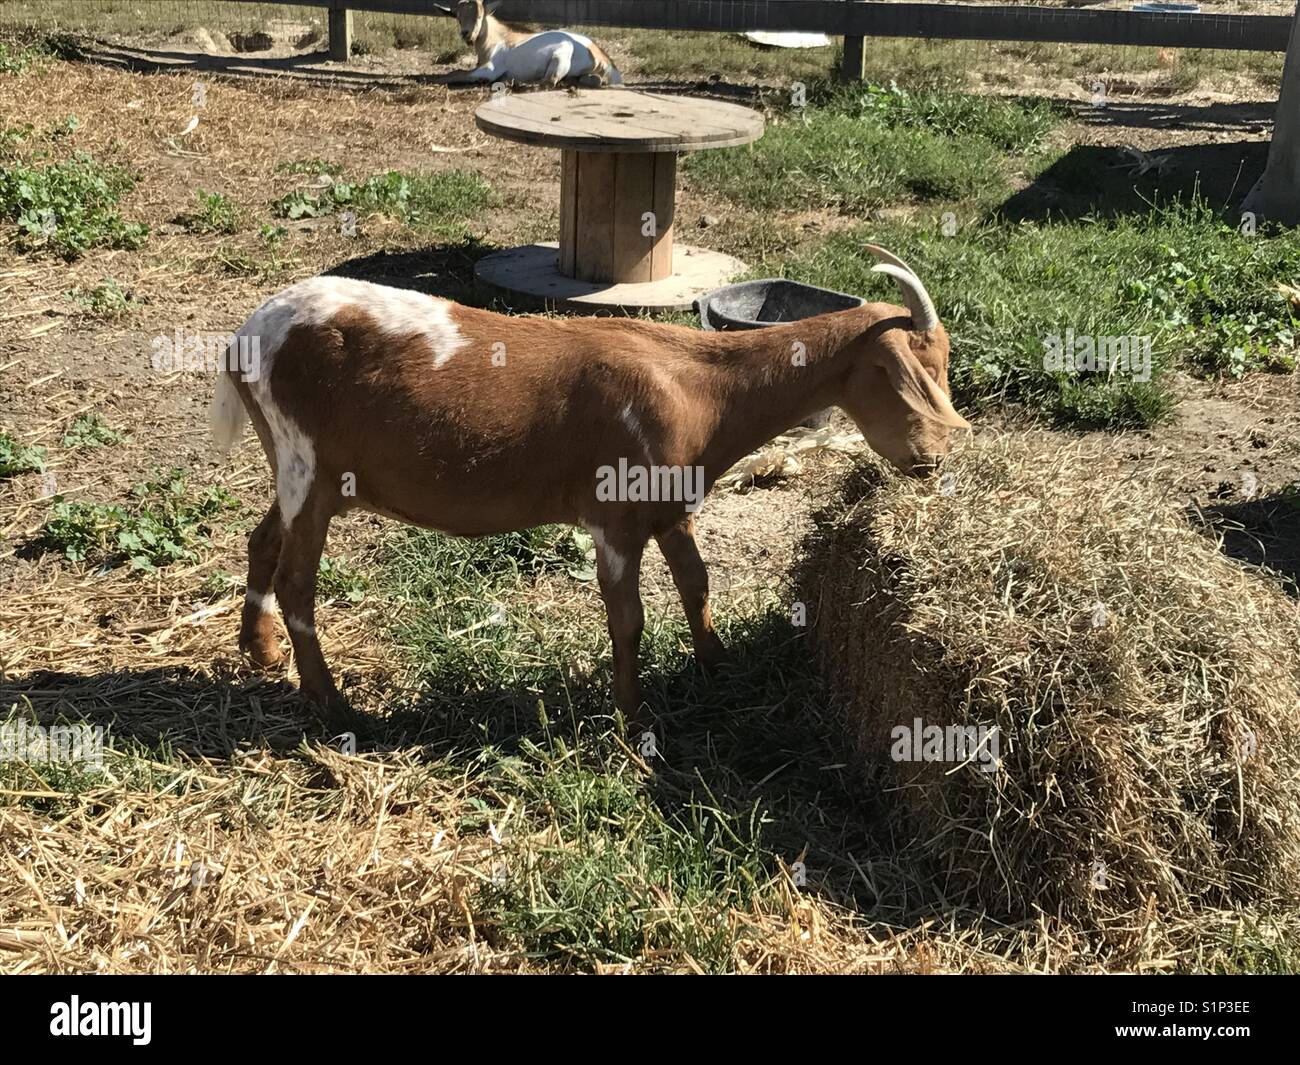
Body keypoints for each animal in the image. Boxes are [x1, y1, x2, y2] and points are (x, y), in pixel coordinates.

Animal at [208, 246, 968, 729]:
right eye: (905, 372)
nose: (932, 458)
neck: (701, 387)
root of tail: (246, 332)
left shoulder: (671, 508)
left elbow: (696, 583)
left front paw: (717, 665)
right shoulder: (617, 516)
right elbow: (627, 618)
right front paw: (631, 718)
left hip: (302, 470)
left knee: (261, 541)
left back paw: (260, 651)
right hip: (305, 462)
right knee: (297, 578)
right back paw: (333, 704)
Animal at [434, 0, 622, 87]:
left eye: (479, 17)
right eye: (458, 18)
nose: (466, 34)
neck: (497, 38)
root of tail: (599, 54)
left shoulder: (491, 69)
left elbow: (457, 73)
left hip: (563, 52)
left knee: (549, 81)